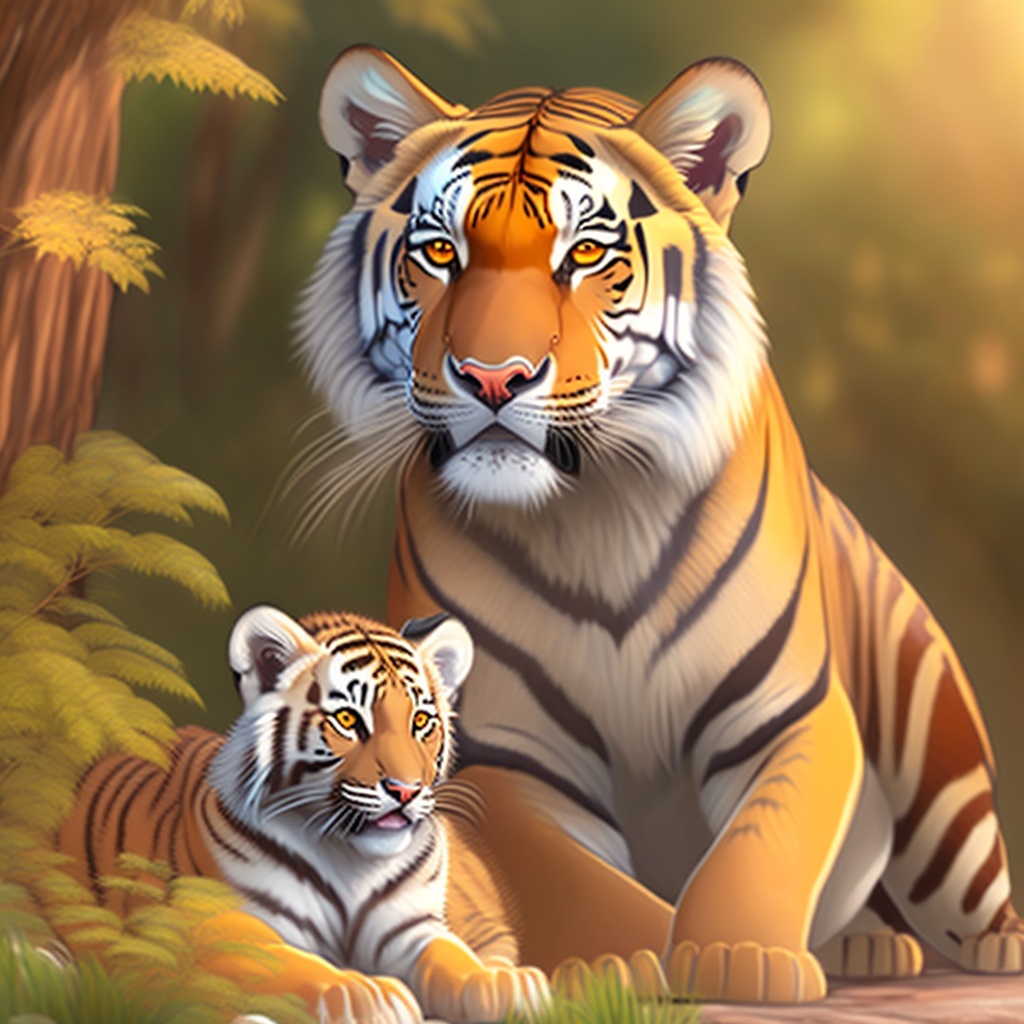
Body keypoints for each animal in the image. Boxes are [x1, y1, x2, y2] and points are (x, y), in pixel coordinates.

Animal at [58, 604, 549, 1024]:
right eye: (348, 720)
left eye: (421, 722)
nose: (406, 790)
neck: (352, 861)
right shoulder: (211, 922)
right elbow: (287, 962)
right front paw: (365, 993)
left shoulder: (411, 929)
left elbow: (453, 956)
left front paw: (505, 985)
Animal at [295, 44, 1024, 1004]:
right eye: (441, 252)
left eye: (586, 253)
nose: (493, 377)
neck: (593, 512)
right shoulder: (510, 753)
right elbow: (576, 875)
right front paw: (626, 957)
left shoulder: (789, 713)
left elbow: (763, 841)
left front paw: (740, 952)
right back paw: (863, 947)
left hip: (940, 766)